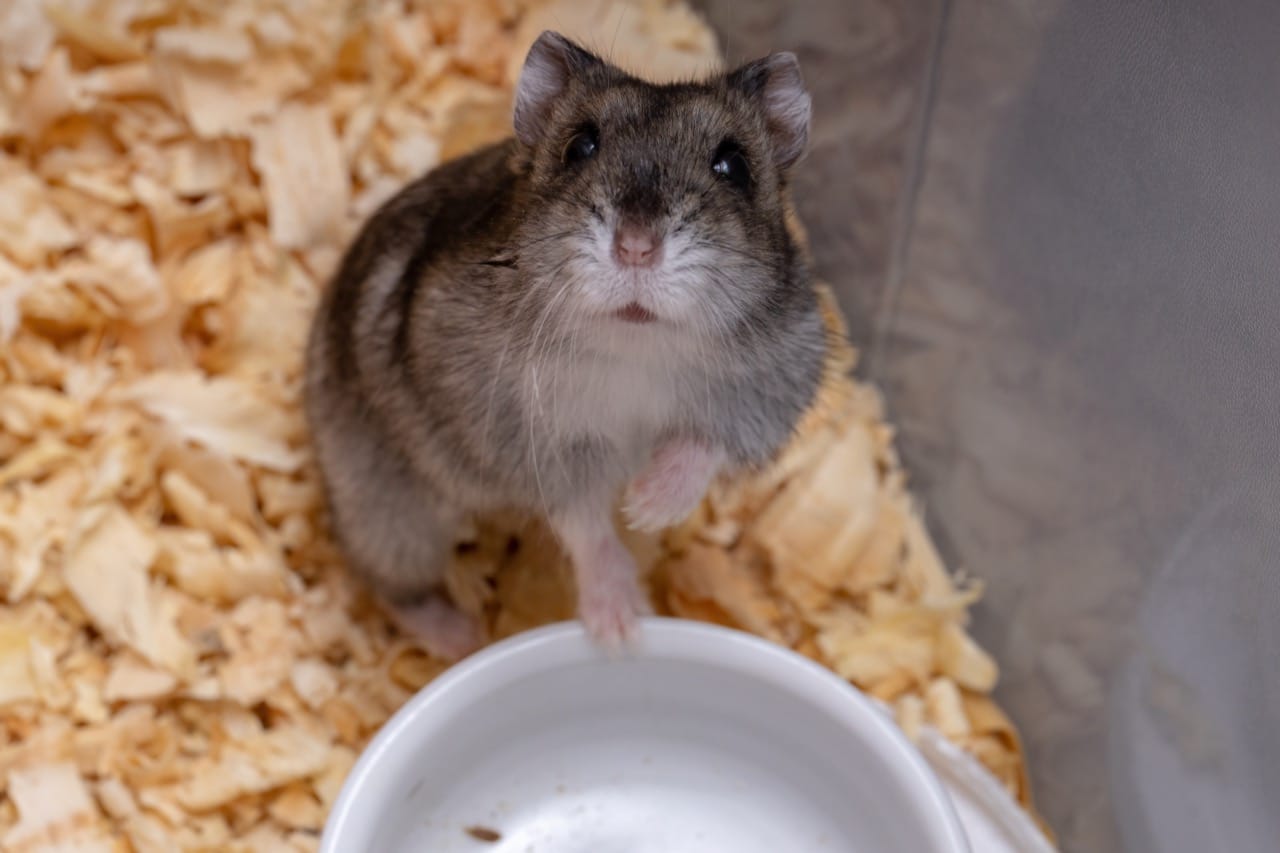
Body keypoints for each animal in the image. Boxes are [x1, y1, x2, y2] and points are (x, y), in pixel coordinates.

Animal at [304, 31, 826, 660]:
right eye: (580, 146)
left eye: (733, 165)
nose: (635, 247)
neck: (636, 346)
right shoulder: (525, 436)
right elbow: (580, 515)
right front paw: (621, 627)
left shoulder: (775, 384)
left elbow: (704, 443)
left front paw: (648, 507)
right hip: (388, 512)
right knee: (391, 586)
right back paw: (463, 635)